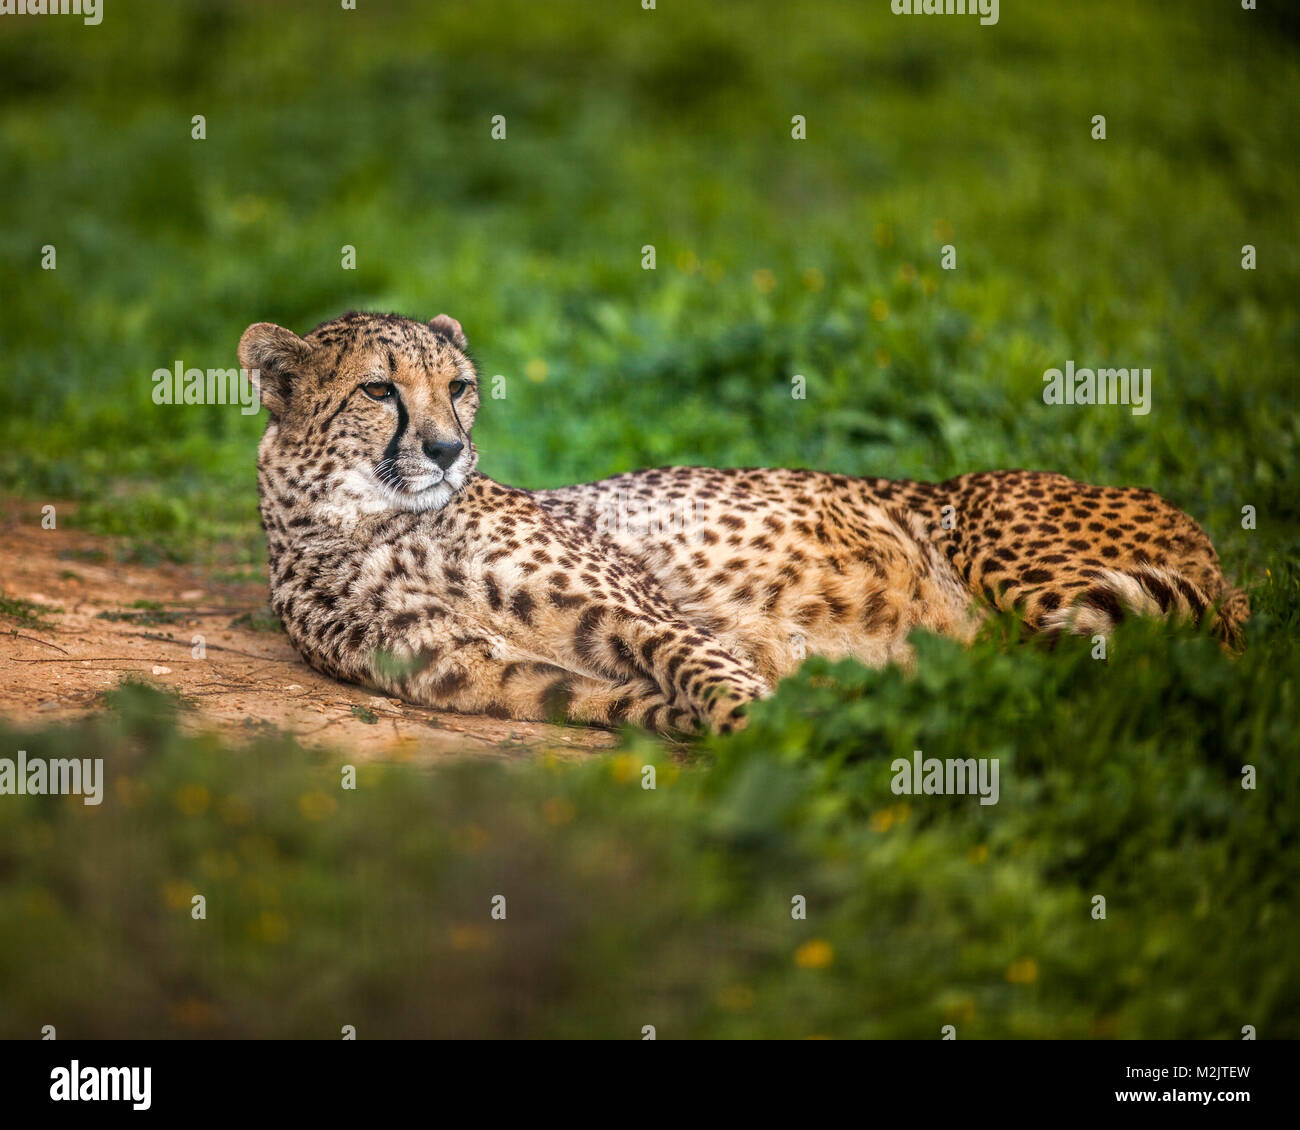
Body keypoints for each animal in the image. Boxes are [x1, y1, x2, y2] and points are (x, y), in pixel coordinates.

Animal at [241, 311, 1248, 735]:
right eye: (379, 390)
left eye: (458, 387)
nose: (451, 449)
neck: (363, 524)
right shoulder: (501, 677)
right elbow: (642, 704)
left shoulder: (644, 614)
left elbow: (705, 673)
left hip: (1020, 553)